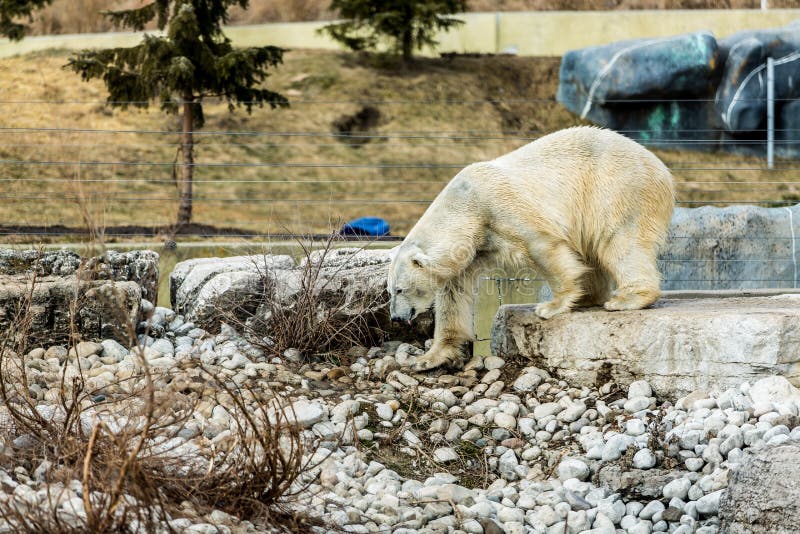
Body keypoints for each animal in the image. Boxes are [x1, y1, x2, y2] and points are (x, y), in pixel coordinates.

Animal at [387, 126, 674, 372]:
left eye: (400, 289)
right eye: (390, 291)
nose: (395, 318)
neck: (468, 206)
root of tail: (662, 168)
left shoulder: (501, 206)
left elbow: (543, 245)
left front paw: (552, 306)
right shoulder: (471, 248)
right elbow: (453, 295)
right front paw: (429, 358)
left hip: (615, 188)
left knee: (619, 241)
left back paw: (627, 299)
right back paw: (589, 297)